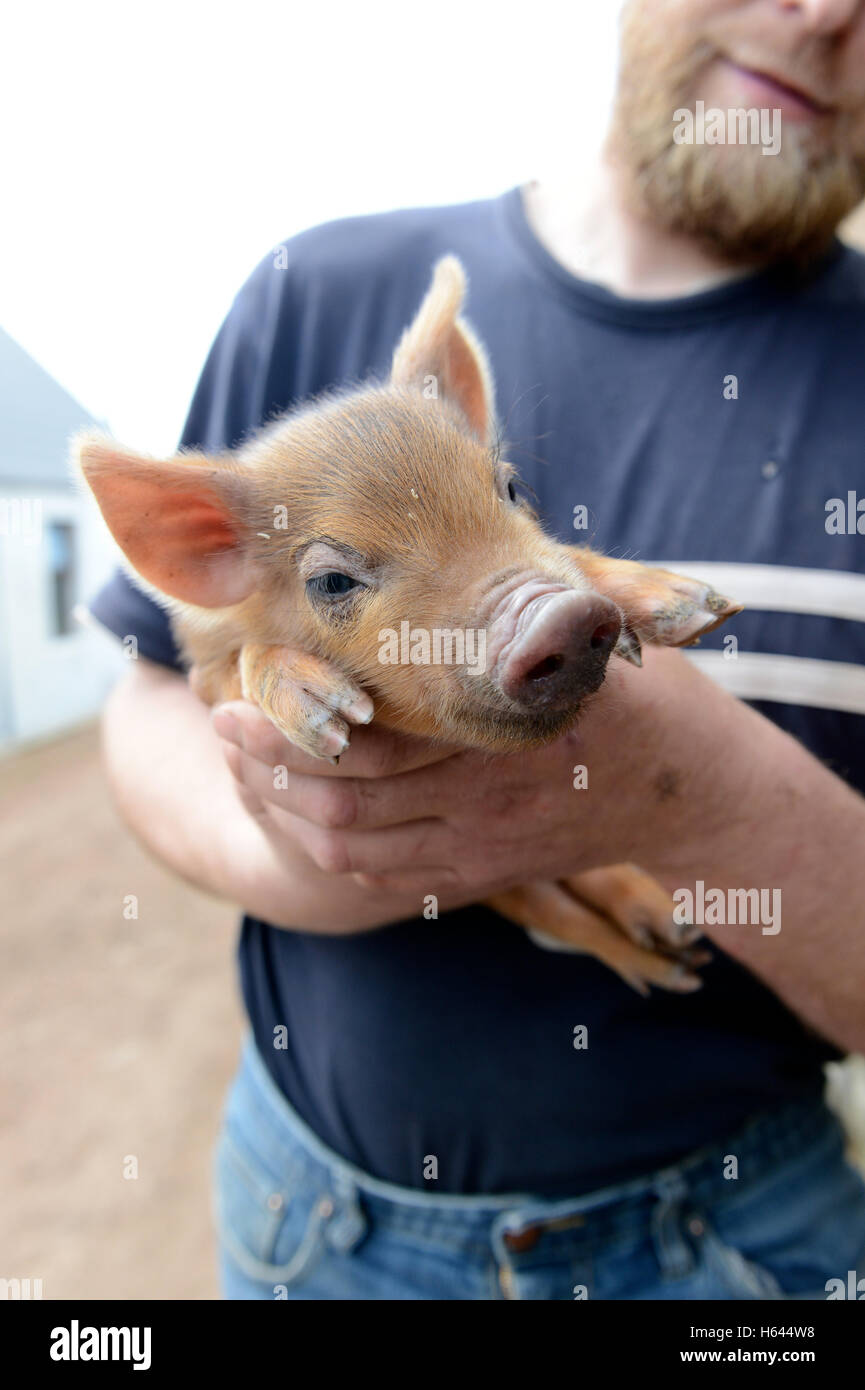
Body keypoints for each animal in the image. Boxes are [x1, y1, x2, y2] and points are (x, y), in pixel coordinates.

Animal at [76, 256, 741, 993]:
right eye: (332, 582)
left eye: (511, 489)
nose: (557, 615)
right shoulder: (210, 677)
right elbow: (248, 665)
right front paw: (328, 720)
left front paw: (699, 606)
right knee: (559, 910)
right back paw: (675, 967)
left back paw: (680, 936)